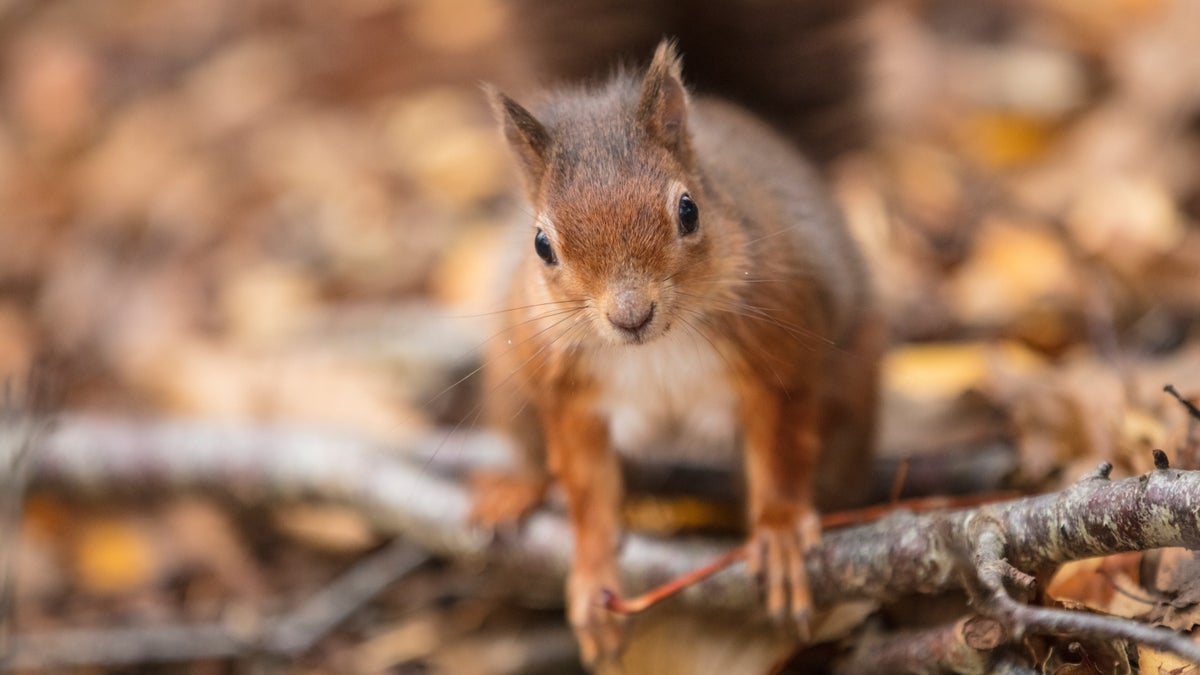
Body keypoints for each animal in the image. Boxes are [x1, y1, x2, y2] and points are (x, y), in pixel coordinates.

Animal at [474, 13, 883, 668]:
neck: (654, 348)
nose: (630, 315)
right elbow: (585, 487)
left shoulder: (780, 352)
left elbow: (783, 452)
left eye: (689, 211)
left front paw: (781, 533)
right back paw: (513, 490)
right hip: (510, 386)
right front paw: (592, 578)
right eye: (541, 245)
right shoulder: (567, 392)